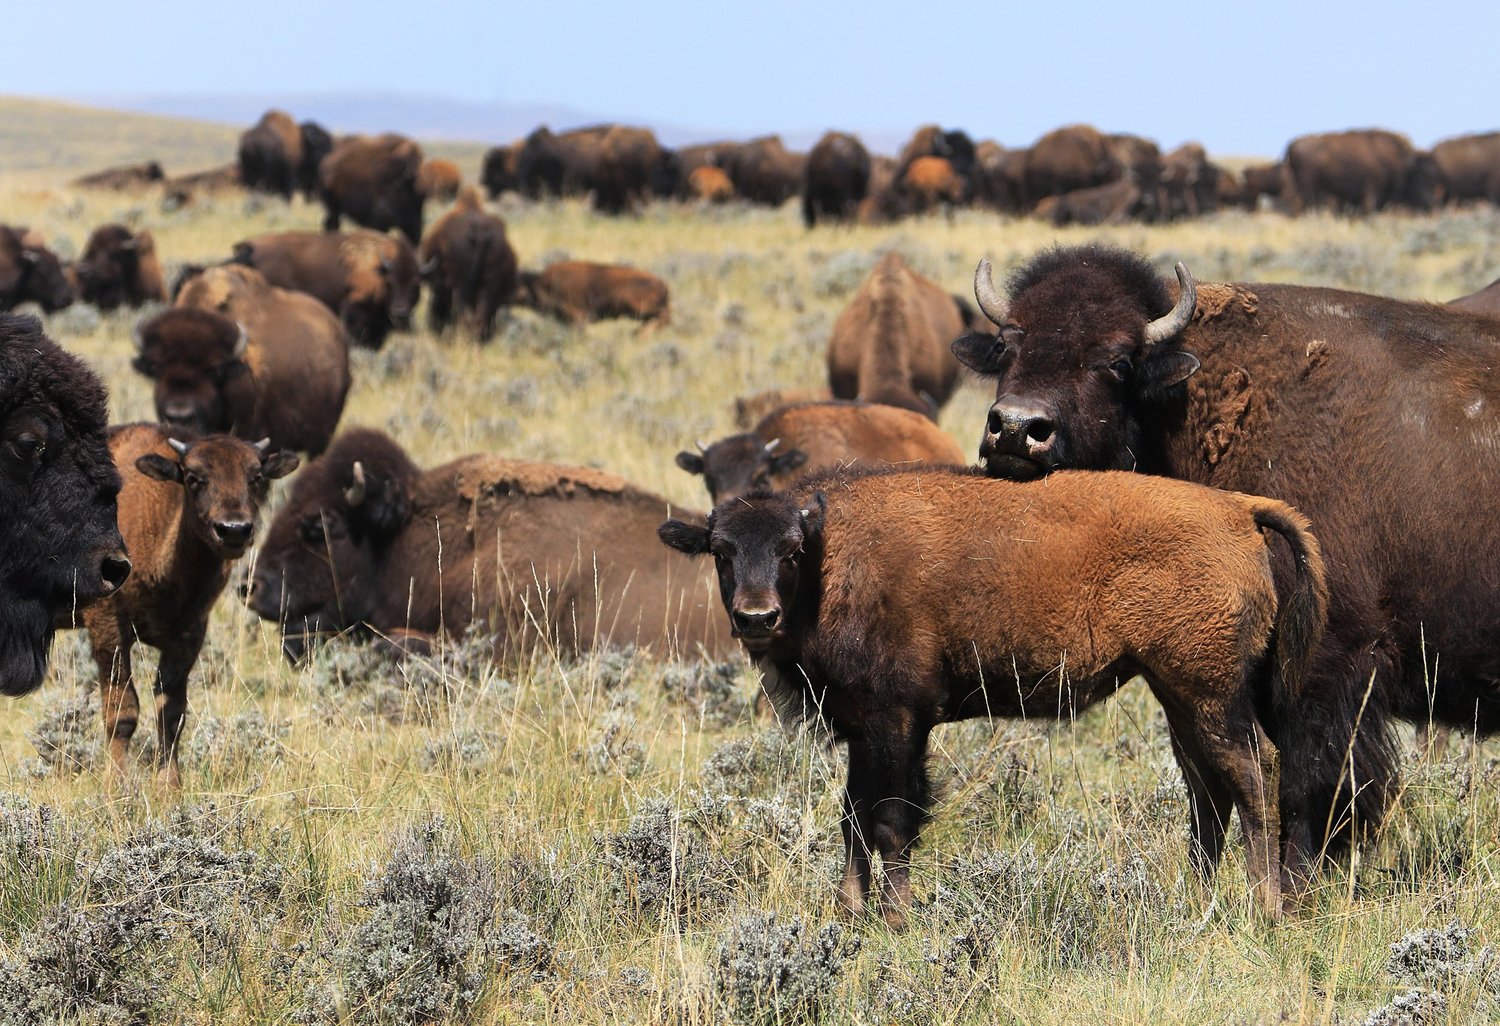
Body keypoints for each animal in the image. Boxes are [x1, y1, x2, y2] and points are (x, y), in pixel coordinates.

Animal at [83, 426, 296, 784]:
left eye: (255, 476)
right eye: (194, 478)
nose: (233, 530)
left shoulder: (189, 634)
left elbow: (171, 713)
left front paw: (170, 785)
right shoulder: (108, 628)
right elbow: (122, 711)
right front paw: (119, 785)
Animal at [660, 466, 1327, 922]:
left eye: (790, 550)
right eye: (721, 552)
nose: (756, 616)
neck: (832, 560)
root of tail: (1237, 509)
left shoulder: (897, 722)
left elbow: (891, 821)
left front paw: (896, 918)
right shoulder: (864, 730)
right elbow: (853, 818)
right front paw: (850, 911)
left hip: (1208, 693)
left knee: (1253, 774)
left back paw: (1264, 908)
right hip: (1178, 694)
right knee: (1208, 791)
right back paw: (1195, 899)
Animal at [955, 244, 1500, 881]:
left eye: (1117, 362)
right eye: (1006, 346)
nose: (1018, 429)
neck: (1189, 405)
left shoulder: (1326, 668)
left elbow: (1307, 787)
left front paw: (1293, 887)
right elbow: (1208, 788)